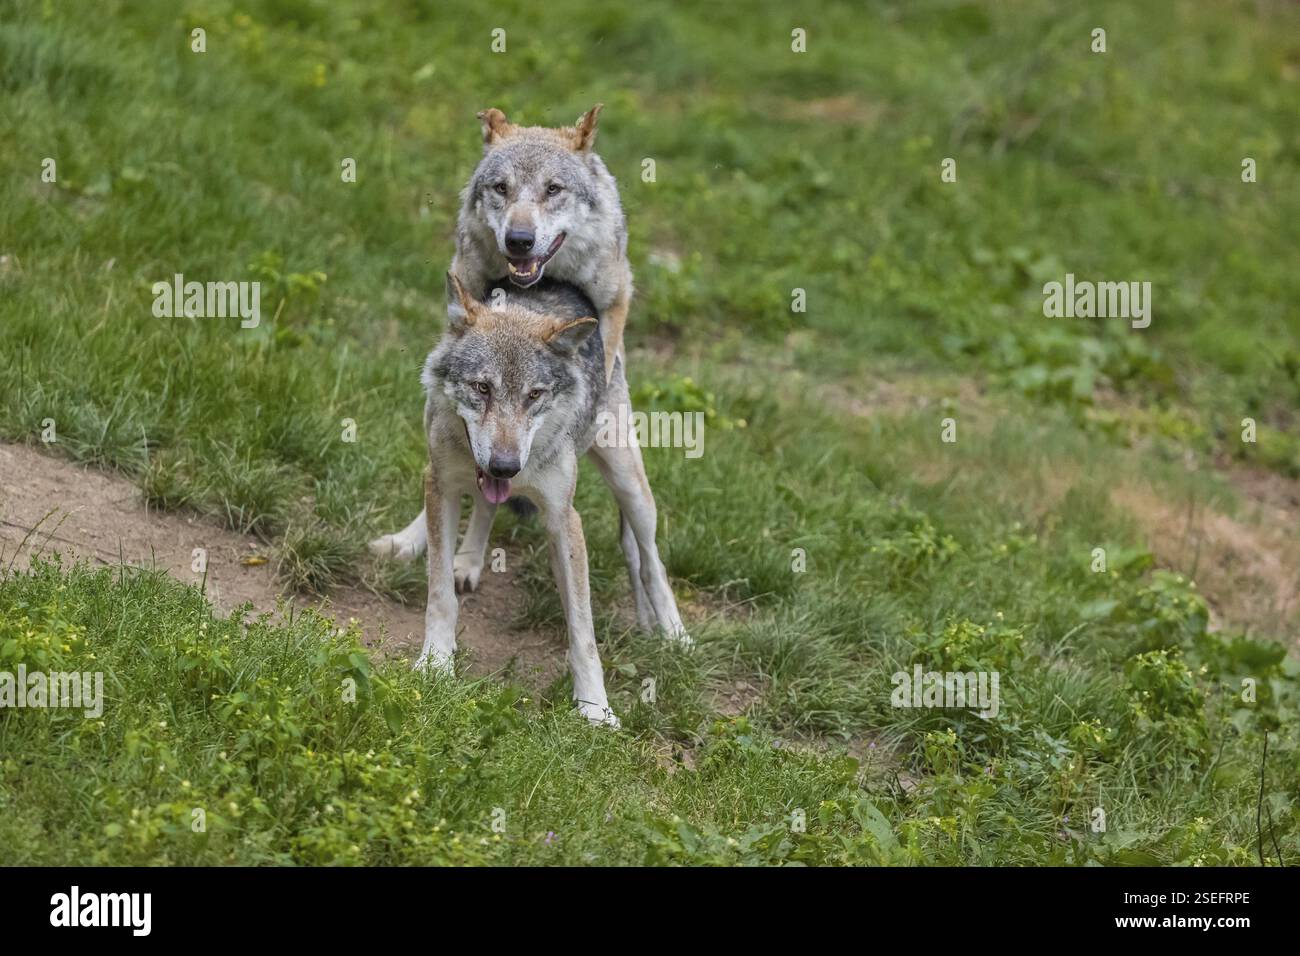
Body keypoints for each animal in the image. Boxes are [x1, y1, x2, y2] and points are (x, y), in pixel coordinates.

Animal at [371, 275, 686, 726]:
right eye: (482, 388)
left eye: (534, 395)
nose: (505, 466)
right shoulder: (442, 486)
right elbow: (440, 596)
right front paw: (435, 663)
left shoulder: (564, 519)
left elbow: (583, 632)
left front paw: (595, 709)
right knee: (481, 507)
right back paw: (451, 558)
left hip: (630, 487)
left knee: (651, 559)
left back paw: (676, 635)